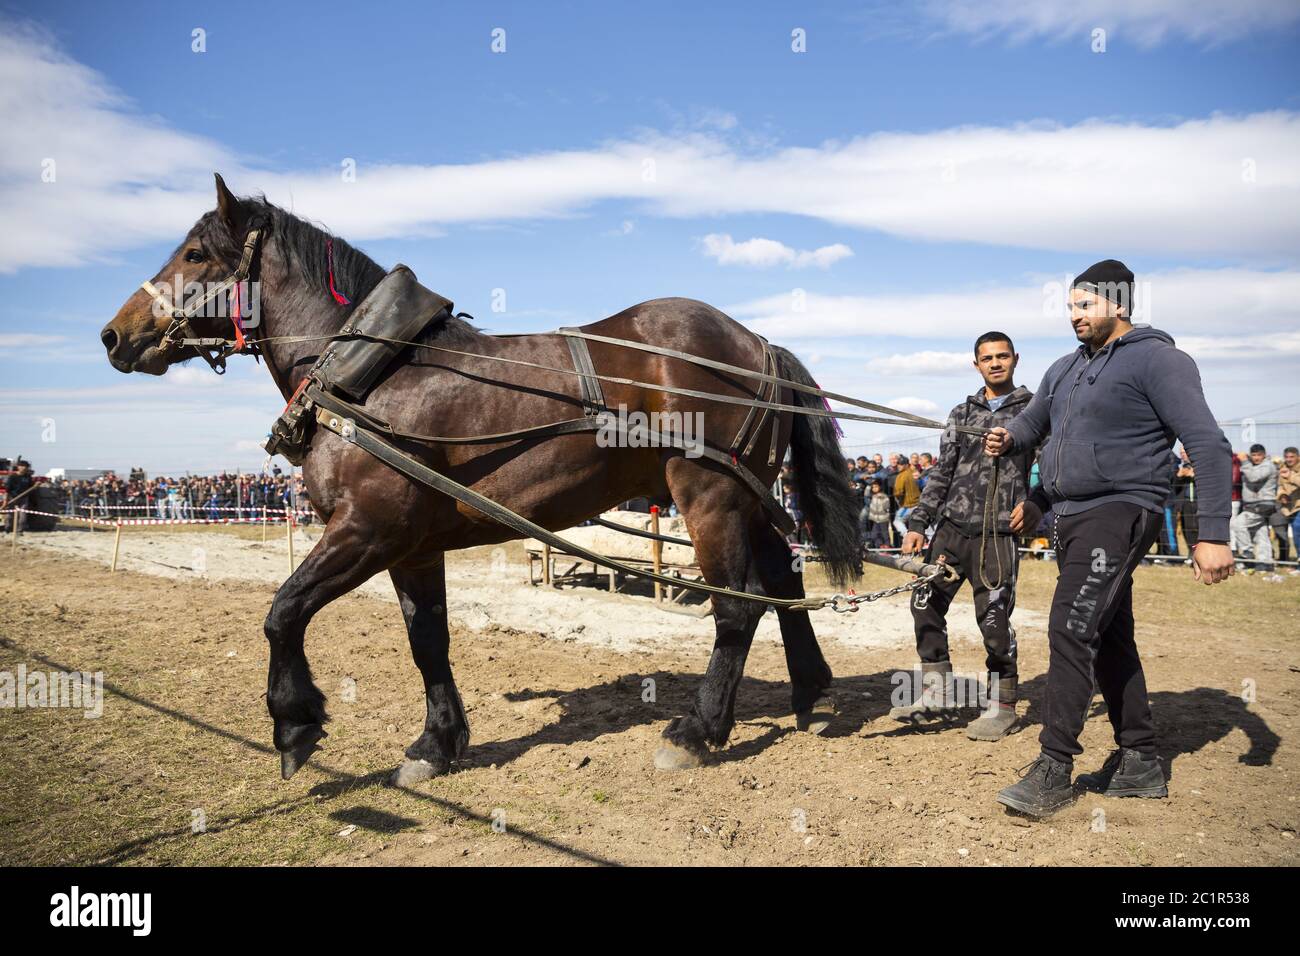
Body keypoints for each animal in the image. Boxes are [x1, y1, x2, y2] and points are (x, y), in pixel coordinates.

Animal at [101, 174, 862, 783]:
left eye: (196, 254)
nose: (114, 335)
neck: (371, 377)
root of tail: (756, 342)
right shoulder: (411, 546)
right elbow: (427, 641)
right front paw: (436, 745)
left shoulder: (366, 529)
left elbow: (283, 611)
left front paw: (295, 724)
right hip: (746, 494)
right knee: (785, 580)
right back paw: (812, 696)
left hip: (708, 493)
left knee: (738, 606)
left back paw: (699, 731)